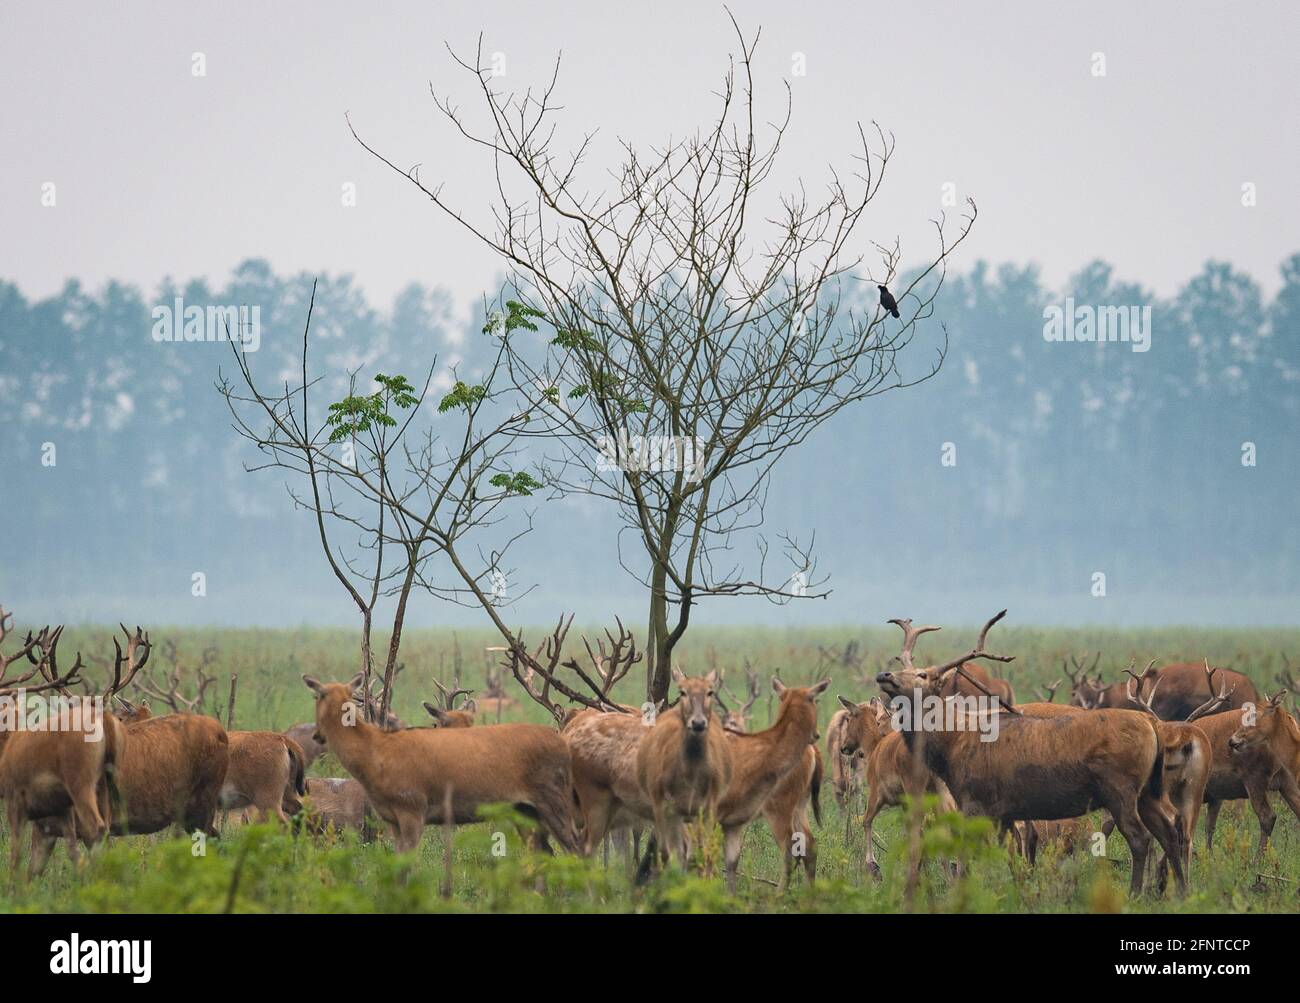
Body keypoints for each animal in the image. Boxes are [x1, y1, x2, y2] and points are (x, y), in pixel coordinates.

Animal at [0, 614, 124, 881]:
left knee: (96, 830)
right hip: (102, 789)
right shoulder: (54, 819)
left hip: (81, 784)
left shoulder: (22, 804)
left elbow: (18, 859)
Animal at [636, 669, 733, 871]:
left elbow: (703, 852)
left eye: (710, 692)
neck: (690, 780)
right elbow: (667, 853)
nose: (698, 723)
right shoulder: (661, 802)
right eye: (682, 692)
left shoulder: (708, 804)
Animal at [875, 610, 1186, 896]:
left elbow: (967, 863)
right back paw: (1181, 892)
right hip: (1147, 791)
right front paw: (1020, 892)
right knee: (1168, 833)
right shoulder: (1004, 811)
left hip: (1120, 789)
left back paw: (1135, 894)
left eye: (922, 674)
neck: (950, 748)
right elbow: (1013, 859)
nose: (884, 674)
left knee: (1140, 838)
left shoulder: (974, 800)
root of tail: (1152, 724)